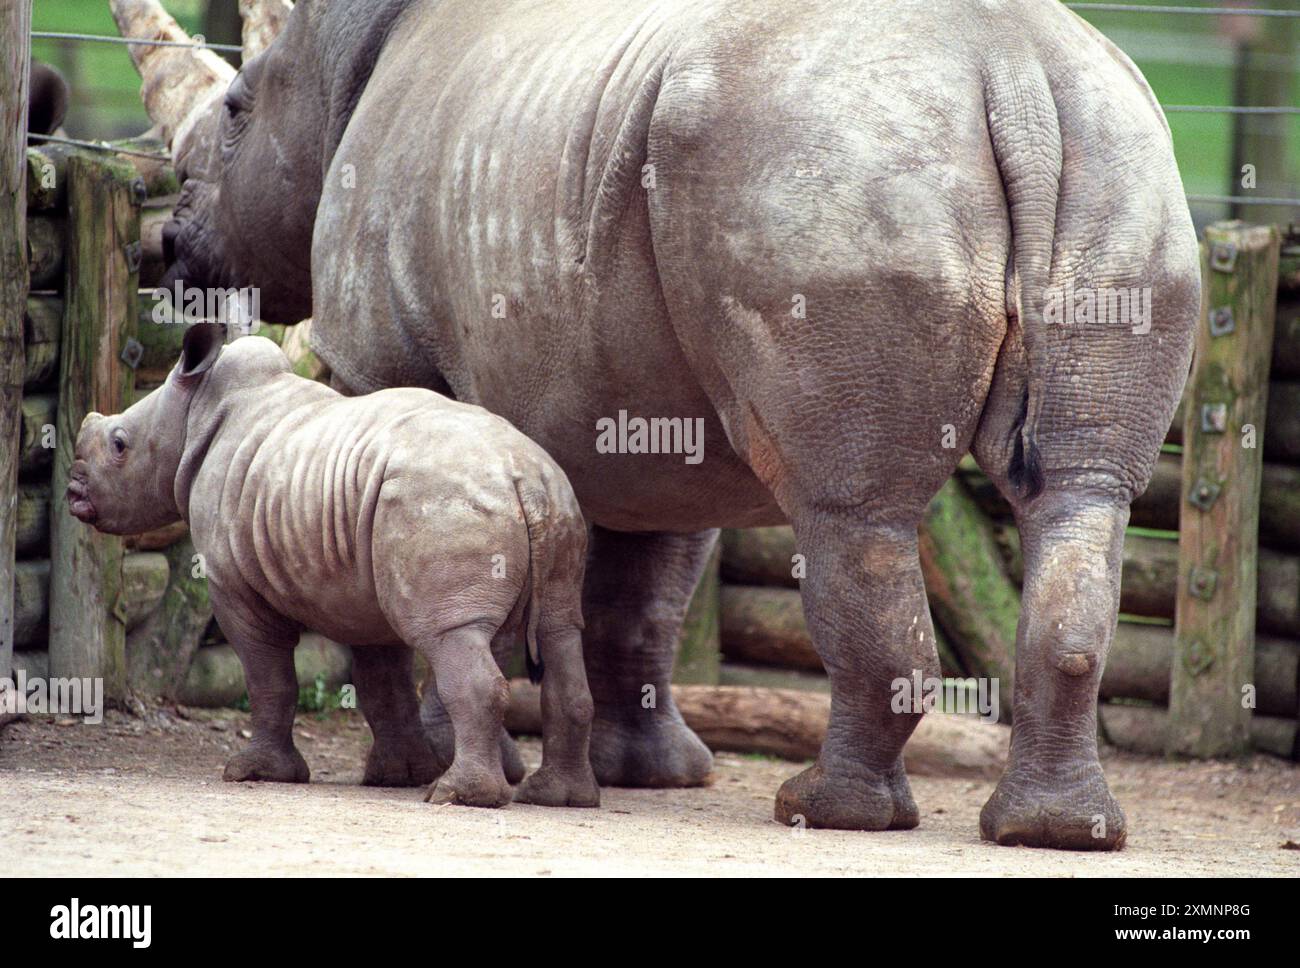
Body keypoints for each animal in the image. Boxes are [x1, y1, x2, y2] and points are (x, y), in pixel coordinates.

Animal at [110, 0, 1201, 849]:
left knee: (852, 510)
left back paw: (824, 811)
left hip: (822, 167)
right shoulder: (652, 407)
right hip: (1121, 162)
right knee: (1081, 496)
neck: (334, 68)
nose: (170, 248)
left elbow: (426, 577)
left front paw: (452, 764)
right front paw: (649, 776)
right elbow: (644, 587)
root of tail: (1014, 71)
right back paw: (1055, 830)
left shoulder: (389, 358)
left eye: (236, 114)